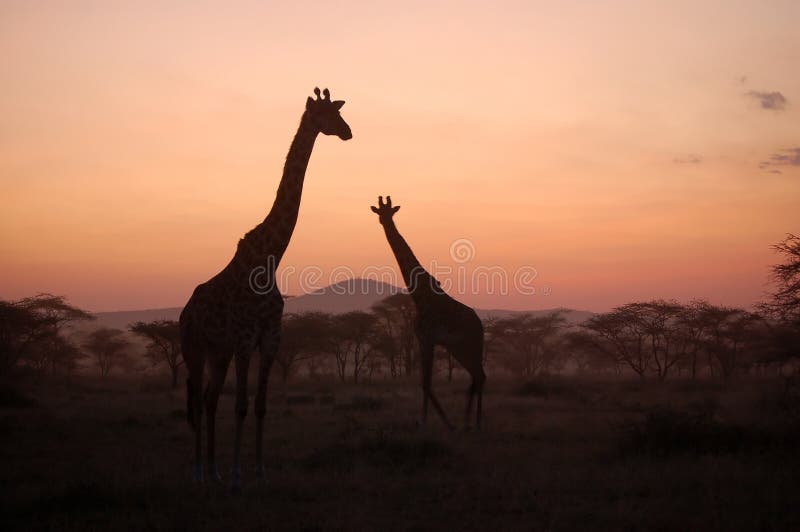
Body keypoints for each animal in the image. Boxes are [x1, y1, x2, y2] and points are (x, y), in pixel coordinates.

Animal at [180, 88, 351, 491]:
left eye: (338, 113)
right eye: (327, 115)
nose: (348, 132)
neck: (272, 255)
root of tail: (184, 311)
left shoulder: (270, 337)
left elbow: (259, 405)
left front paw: (257, 470)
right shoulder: (246, 337)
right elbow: (241, 405)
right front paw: (239, 474)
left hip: (218, 351)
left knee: (209, 398)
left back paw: (214, 470)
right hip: (194, 347)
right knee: (196, 399)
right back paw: (199, 471)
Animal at [371, 196, 486, 429]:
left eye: (390, 213)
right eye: (379, 213)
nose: (384, 223)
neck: (418, 293)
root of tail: (481, 325)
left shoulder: (429, 338)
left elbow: (426, 383)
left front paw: (431, 422)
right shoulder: (423, 339)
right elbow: (424, 382)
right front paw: (438, 421)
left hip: (470, 344)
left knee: (479, 375)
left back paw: (474, 424)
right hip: (457, 347)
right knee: (477, 375)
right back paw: (470, 423)